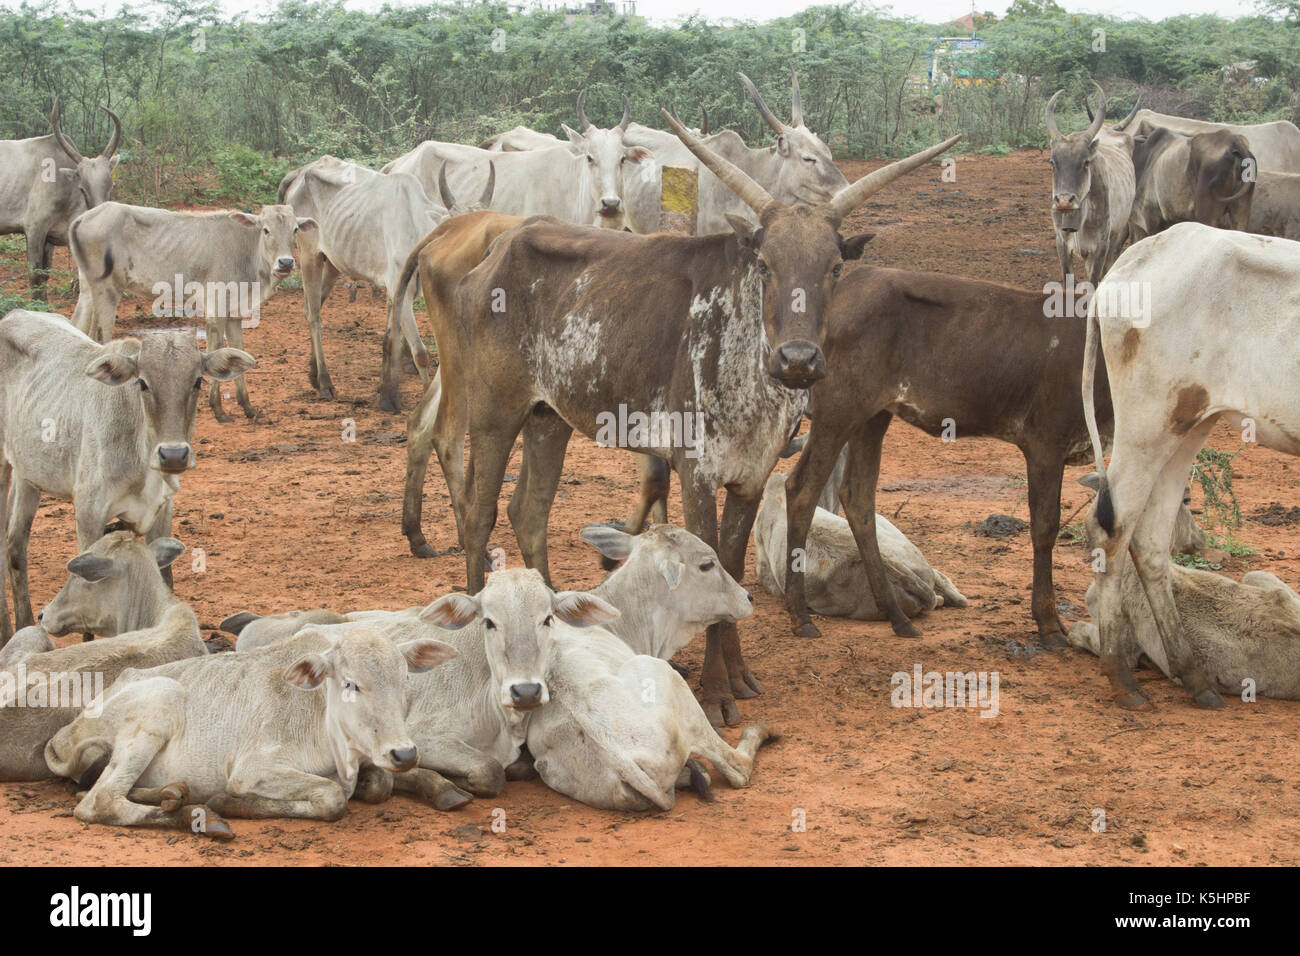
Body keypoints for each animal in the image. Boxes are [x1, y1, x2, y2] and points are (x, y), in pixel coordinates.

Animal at [0, 100, 121, 292]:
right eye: (82, 189)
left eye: (112, 186)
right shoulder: (34, 229)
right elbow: (36, 277)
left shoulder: (49, 238)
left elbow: (45, 276)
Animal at [0, 311, 255, 640]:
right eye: (142, 383)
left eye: (197, 380)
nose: (173, 454)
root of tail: (15, 314)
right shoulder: (89, 513)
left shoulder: (161, 510)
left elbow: (164, 579)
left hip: (29, 475)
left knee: (16, 544)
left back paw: (23, 626)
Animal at [44, 624, 455, 839]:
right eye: (351, 683)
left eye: (405, 679)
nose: (404, 754)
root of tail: (60, 739)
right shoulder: (252, 769)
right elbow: (333, 796)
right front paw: (230, 802)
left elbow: (380, 783)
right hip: (161, 700)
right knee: (99, 801)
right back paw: (200, 816)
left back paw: (174, 794)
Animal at [67, 202, 310, 422]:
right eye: (265, 229)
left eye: (295, 229)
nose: (286, 262)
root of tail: (85, 217)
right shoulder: (216, 308)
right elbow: (216, 350)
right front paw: (218, 410)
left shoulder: (234, 313)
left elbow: (237, 351)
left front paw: (248, 408)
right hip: (108, 288)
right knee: (102, 337)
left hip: (87, 289)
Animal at [1046, 84, 1137, 285]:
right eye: (1053, 162)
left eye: (1086, 162)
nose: (1064, 201)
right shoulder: (1061, 243)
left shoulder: (1101, 245)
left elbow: (1095, 281)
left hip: (1118, 235)